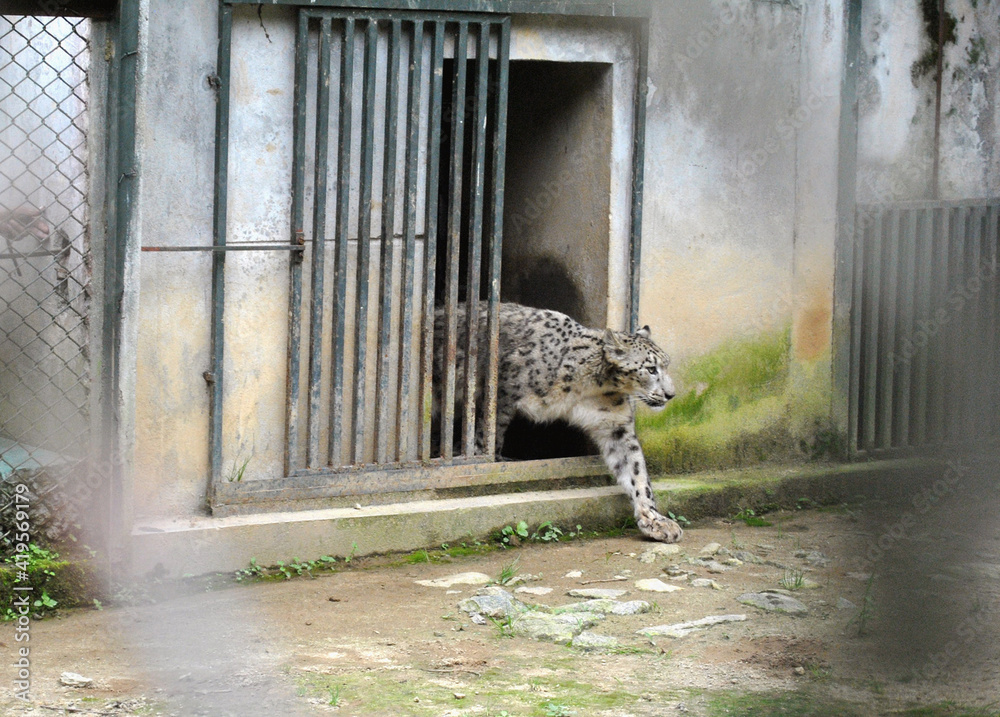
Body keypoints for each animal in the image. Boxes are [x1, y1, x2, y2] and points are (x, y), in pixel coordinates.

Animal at [433, 302, 683, 543]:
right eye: (651, 369)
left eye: (666, 364)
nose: (671, 394)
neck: (590, 388)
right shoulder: (503, 391)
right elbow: (487, 434)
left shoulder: (615, 424)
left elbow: (636, 470)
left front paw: (655, 520)